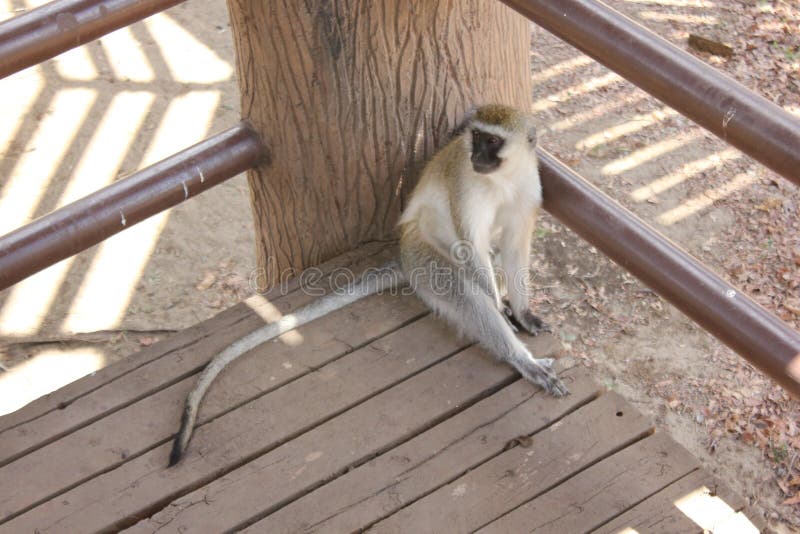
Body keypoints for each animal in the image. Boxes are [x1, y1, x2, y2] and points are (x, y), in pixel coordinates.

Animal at [168, 104, 568, 466]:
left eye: (492, 141)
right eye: (476, 137)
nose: (475, 155)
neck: (502, 179)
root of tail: (404, 256)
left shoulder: (528, 185)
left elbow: (516, 245)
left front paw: (522, 311)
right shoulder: (464, 187)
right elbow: (471, 248)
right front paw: (500, 307)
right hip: (423, 257)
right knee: (466, 293)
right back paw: (521, 359)